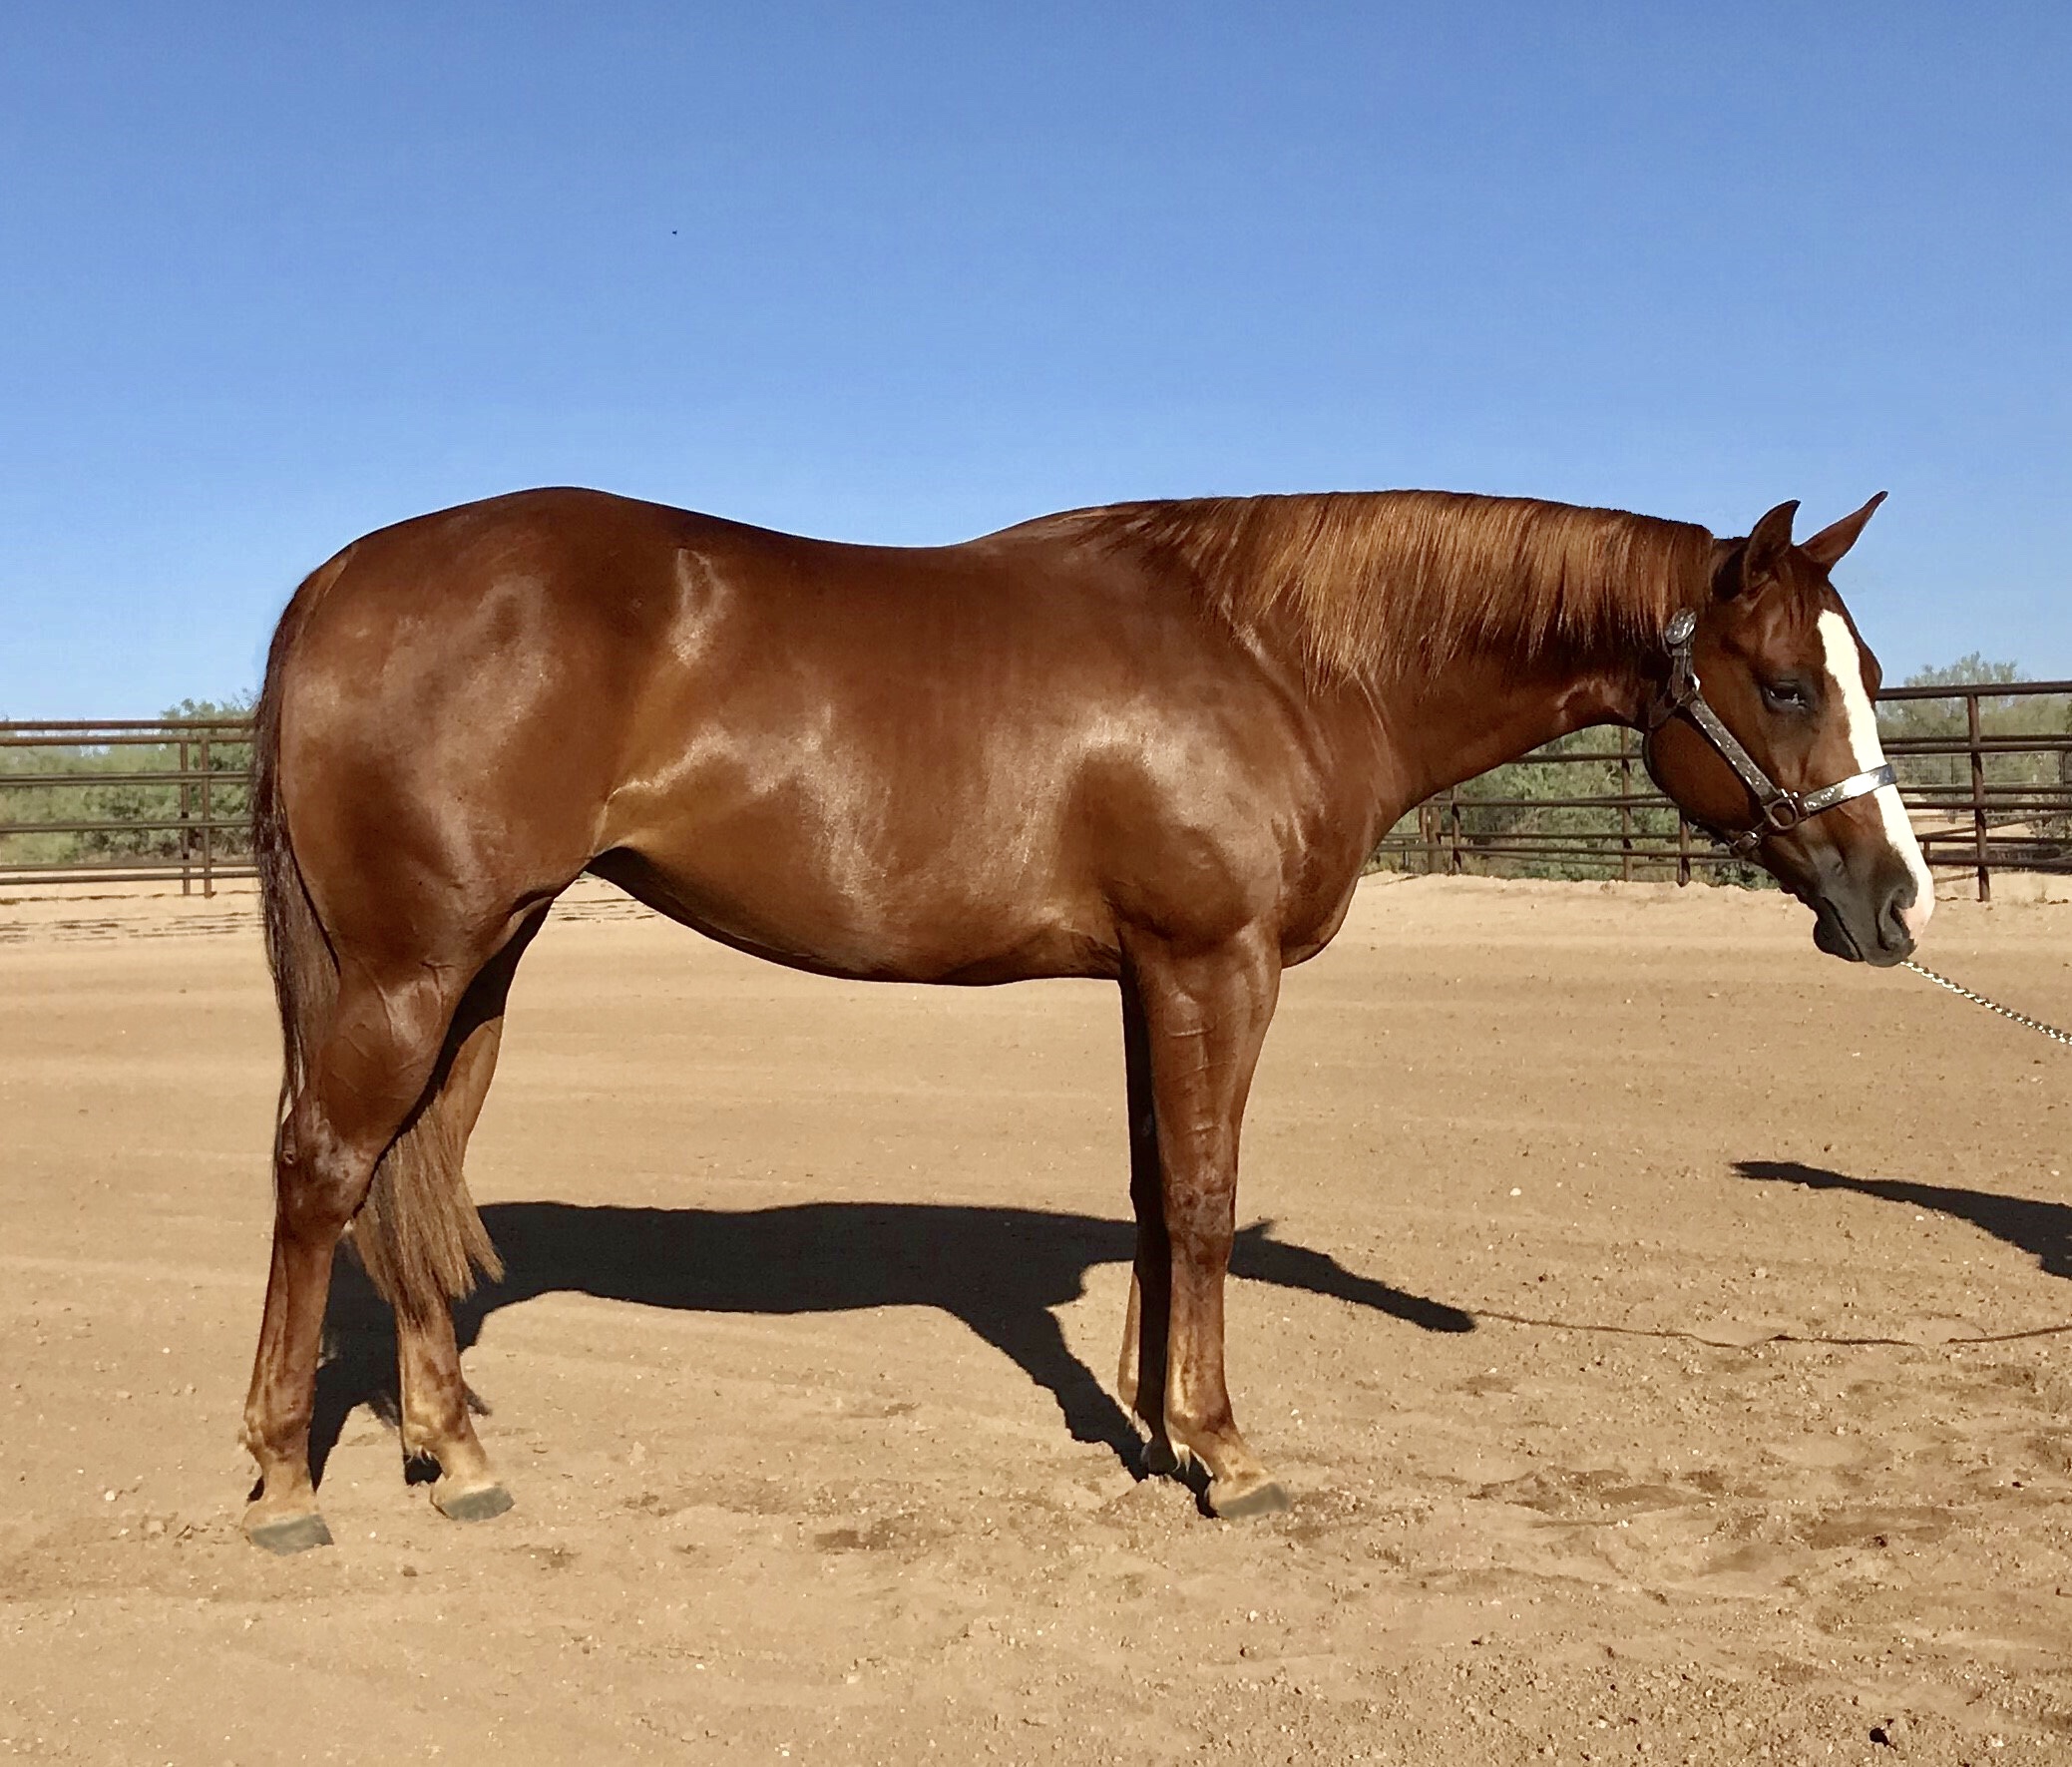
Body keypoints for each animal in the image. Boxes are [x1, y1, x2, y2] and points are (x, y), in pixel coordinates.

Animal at [237, 484, 1933, 1553]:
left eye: (1865, 669)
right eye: (1784, 684)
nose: (1897, 901)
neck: (1275, 653)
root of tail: (335, 579)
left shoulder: (1148, 974)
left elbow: (1149, 1188)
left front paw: (1155, 1425)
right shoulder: (1214, 962)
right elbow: (1201, 1196)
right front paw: (1228, 1453)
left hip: (479, 964)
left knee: (413, 1174)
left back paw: (457, 1458)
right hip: (410, 965)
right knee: (322, 1171)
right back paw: (281, 1480)